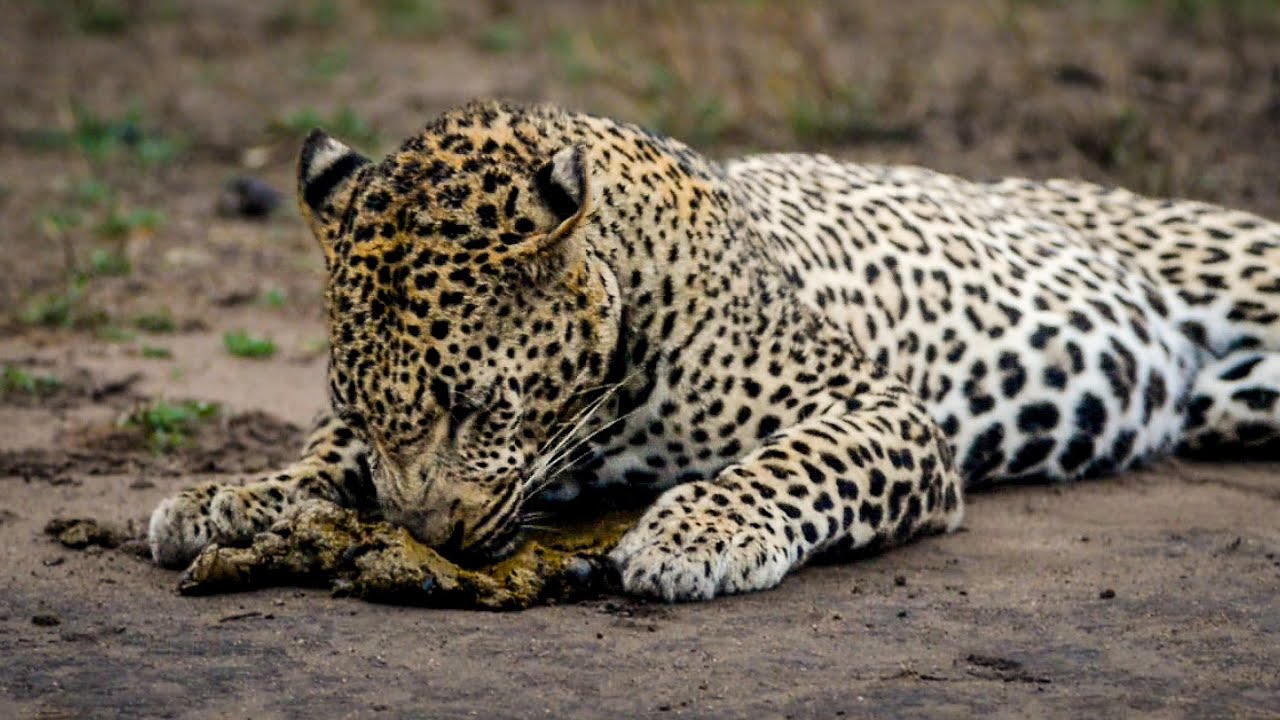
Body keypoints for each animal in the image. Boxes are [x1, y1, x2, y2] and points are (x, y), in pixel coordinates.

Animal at [148, 100, 1280, 602]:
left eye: (479, 408)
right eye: (359, 402)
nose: (430, 538)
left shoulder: (877, 409)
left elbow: (795, 462)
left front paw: (694, 536)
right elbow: (326, 458)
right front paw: (234, 495)